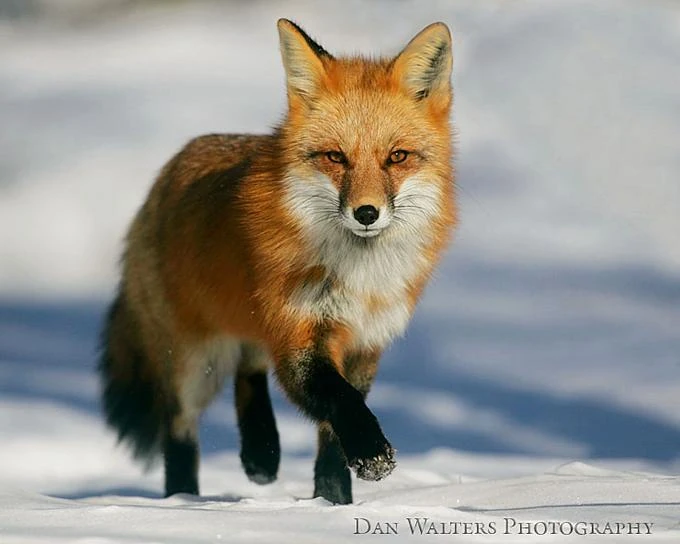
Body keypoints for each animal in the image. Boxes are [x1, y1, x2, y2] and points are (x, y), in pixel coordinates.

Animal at [99, 18, 455, 505]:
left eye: (397, 157)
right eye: (335, 157)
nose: (366, 213)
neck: (357, 276)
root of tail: (161, 179)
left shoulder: (364, 342)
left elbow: (332, 432)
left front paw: (332, 501)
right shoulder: (299, 332)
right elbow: (340, 400)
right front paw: (371, 453)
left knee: (249, 366)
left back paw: (261, 454)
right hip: (195, 362)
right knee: (181, 431)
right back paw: (184, 500)